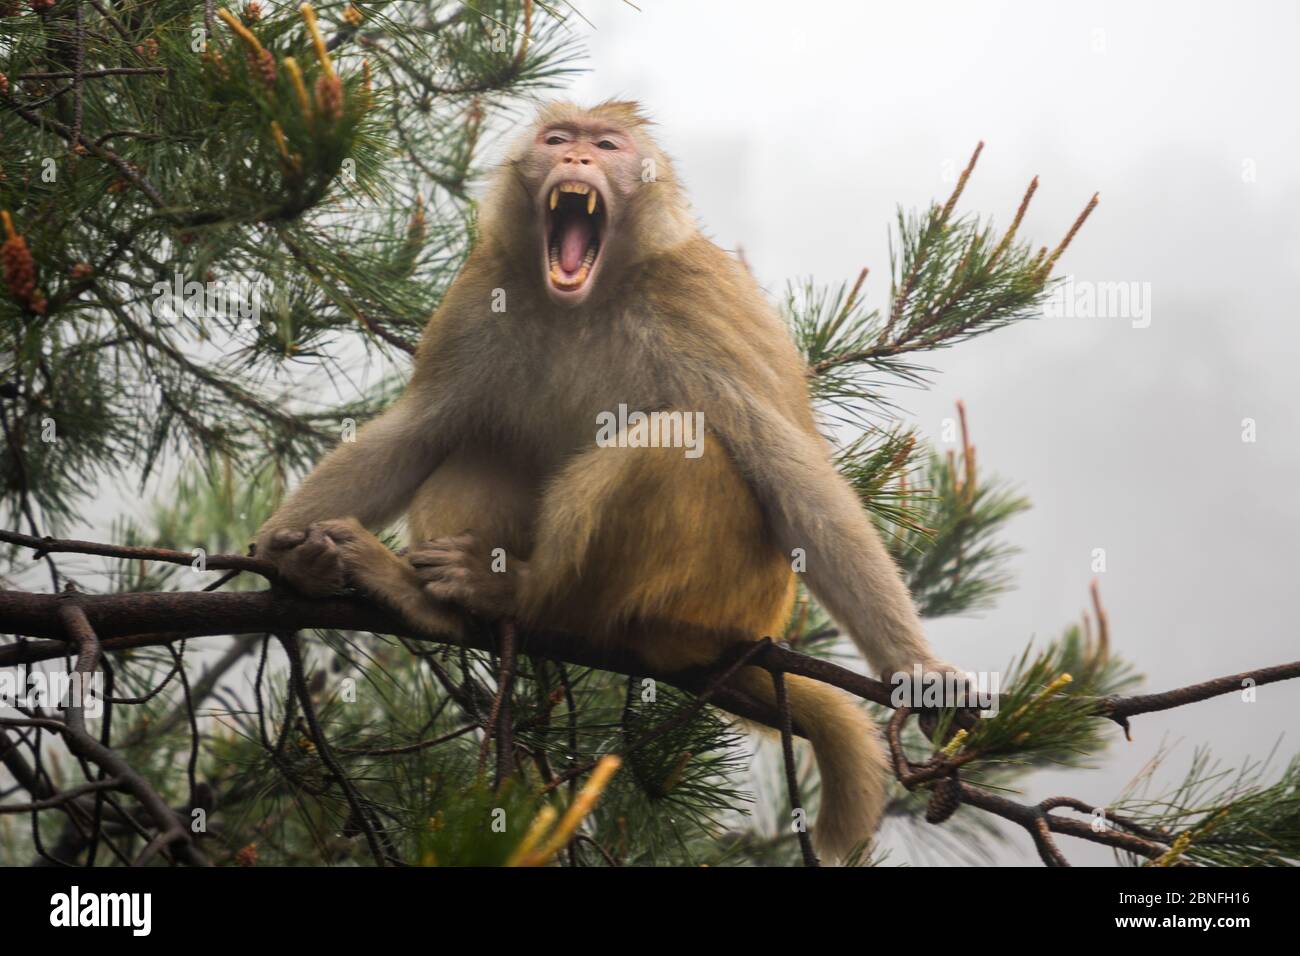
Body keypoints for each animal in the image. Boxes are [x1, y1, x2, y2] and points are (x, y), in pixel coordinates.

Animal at [255, 100, 959, 864]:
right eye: (559, 140)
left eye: (608, 145)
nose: (578, 160)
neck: (588, 298)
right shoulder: (477, 294)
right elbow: (422, 428)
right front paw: (286, 551)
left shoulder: (703, 300)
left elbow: (789, 473)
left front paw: (922, 673)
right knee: (485, 442)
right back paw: (433, 603)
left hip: (730, 596)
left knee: (676, 443)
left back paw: (524, 596)